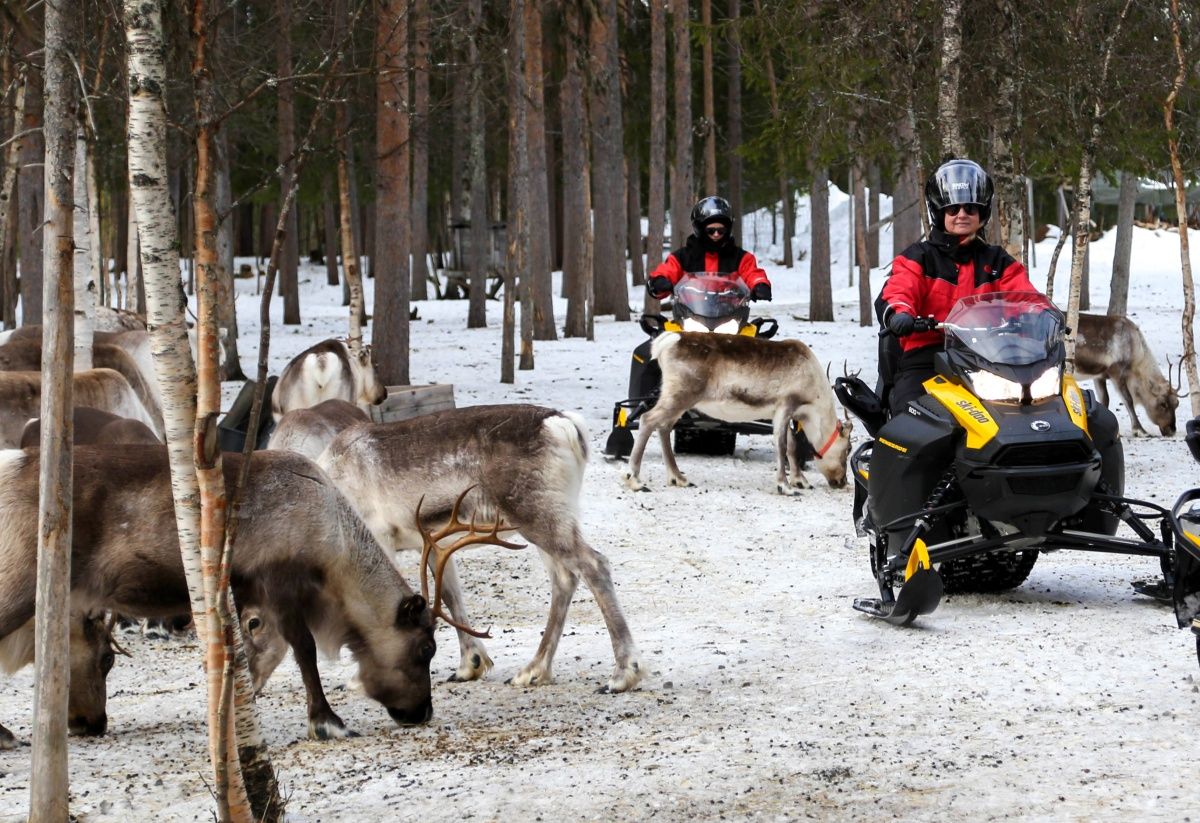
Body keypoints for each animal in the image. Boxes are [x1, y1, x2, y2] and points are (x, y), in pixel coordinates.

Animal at [0, 444, 439, 740]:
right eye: (426, 648)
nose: (422, 712)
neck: (334, 545)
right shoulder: (278, 582)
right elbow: (305, 650)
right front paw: (327, 722)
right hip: (20, 582)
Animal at [317, 404, 643, 694]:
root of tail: (563, 423)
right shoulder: (432, 544)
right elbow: (450, 595)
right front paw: (470, 664)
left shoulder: (378, 536)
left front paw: (360, 680)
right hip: (550, 516)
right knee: (564, 578)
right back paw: (533, 670)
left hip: (537, 515)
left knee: (594, 564)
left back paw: (622, 674)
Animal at [623, 332, 853, 495]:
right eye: (848, 448)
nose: (842, 481)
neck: (813, 405)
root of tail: (667, 342)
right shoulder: (785, 405)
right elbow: (781, 445)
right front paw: (785, 486)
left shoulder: (782, 413)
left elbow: (792, 446)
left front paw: (800, 480)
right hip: (682, 394)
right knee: (648, 419)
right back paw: (635, 480)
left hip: (678, 397)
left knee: (664, 426)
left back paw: (678, 478)